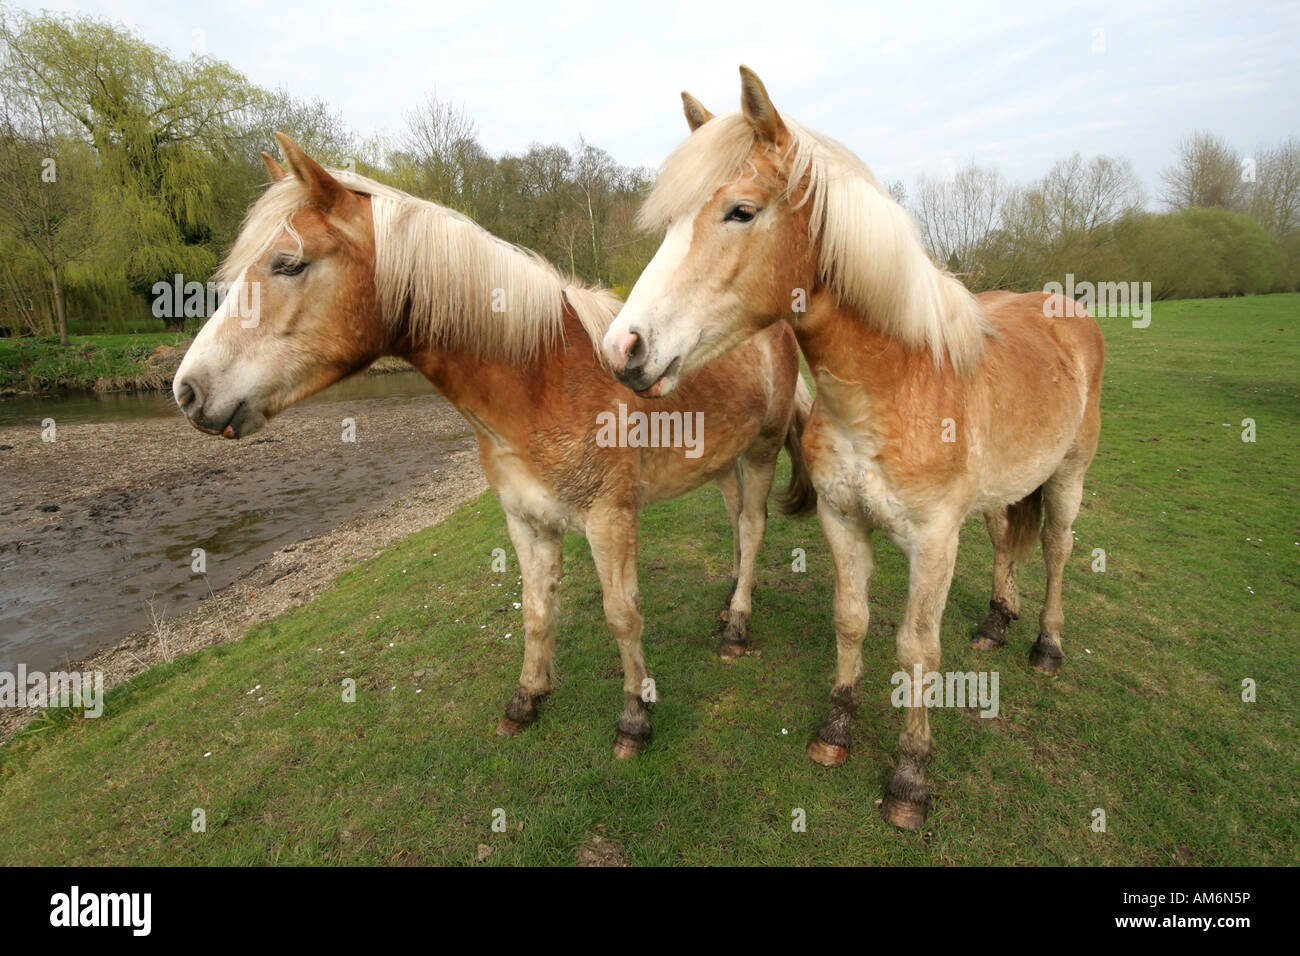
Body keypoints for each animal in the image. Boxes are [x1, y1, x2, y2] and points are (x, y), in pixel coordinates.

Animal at [173, 133, 814, 758]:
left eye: (288, 264)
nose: (187, 391)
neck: (542, 379)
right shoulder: (527, 521)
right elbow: (535, 612)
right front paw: (526, 700)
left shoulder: (610, 520)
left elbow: (622, 616)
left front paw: (635, 718)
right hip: (725, 460)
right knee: (738, 524)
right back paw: (731, 597)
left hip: (760, 452)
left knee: (754, 527)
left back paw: (737, 626)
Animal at [602, 68, 1104, 828]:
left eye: (741, 211)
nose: (623, 348)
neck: (893, 386)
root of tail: (1068, 315)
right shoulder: (843, 520)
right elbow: (851, 621)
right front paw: (836, 729)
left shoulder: (933, 541)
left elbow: (917, 649)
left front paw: (909, 777)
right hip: (1005, 490)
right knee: (1007, 540)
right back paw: (995, 623)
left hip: (1069, 477)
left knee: (1054, 550)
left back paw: (1045, 644)